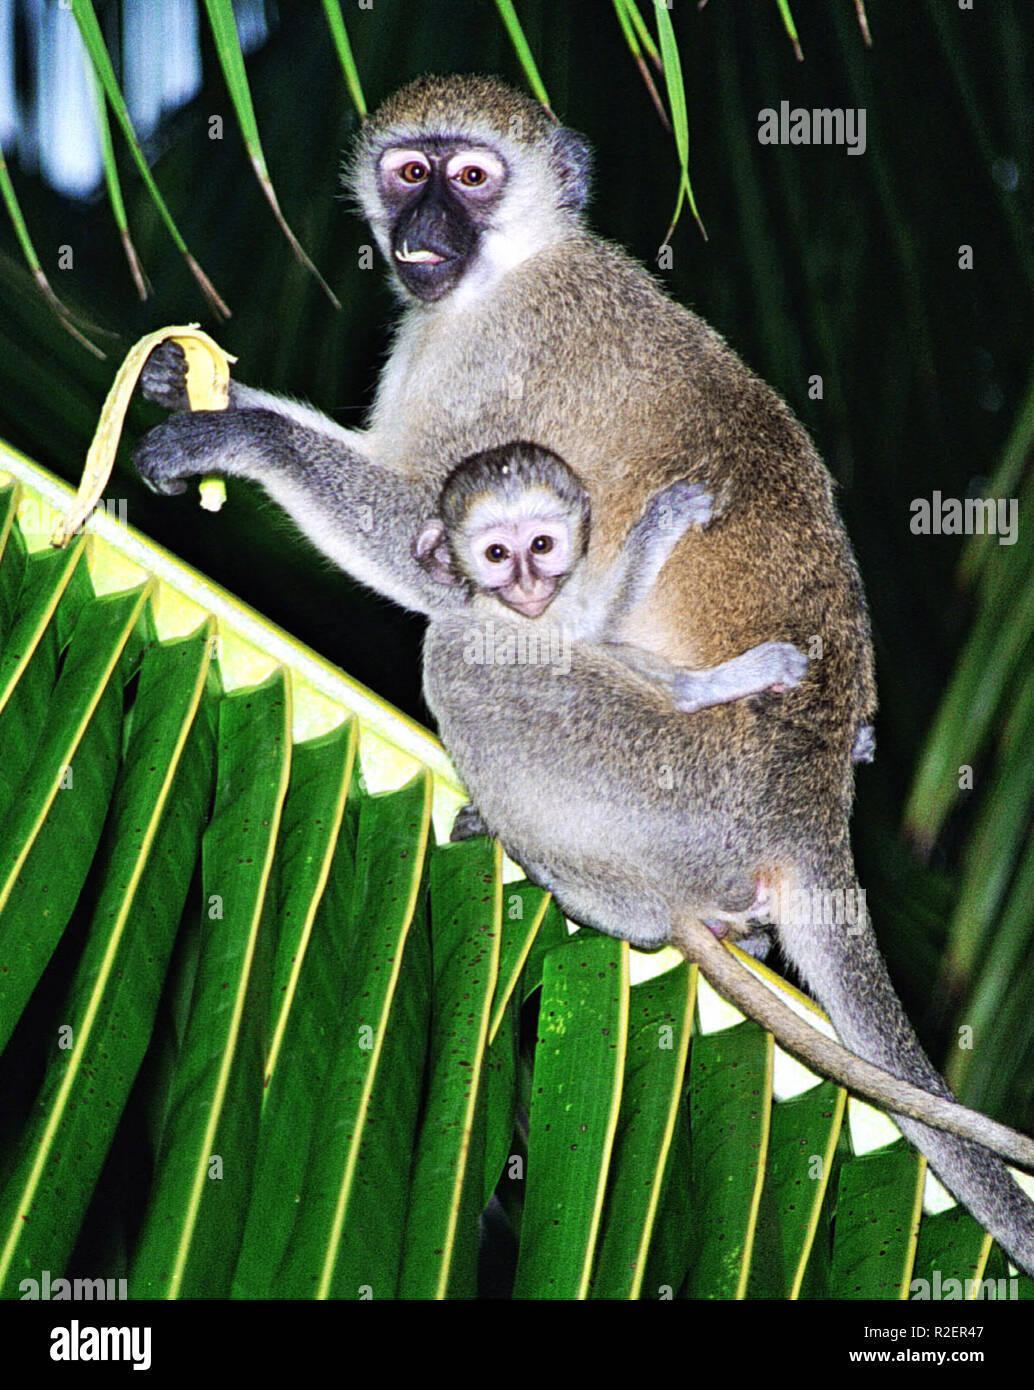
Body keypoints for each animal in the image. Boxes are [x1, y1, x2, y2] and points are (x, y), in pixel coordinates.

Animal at [132, 74, 1034, 1271]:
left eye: (471, 177)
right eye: (409, 172)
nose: (424, 228)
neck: (517, 263)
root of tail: (809, 812)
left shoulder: (498, 356)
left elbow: (435, 562)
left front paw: (240, 432)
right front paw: (176, 380)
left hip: (669, 787)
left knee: (464, 658)